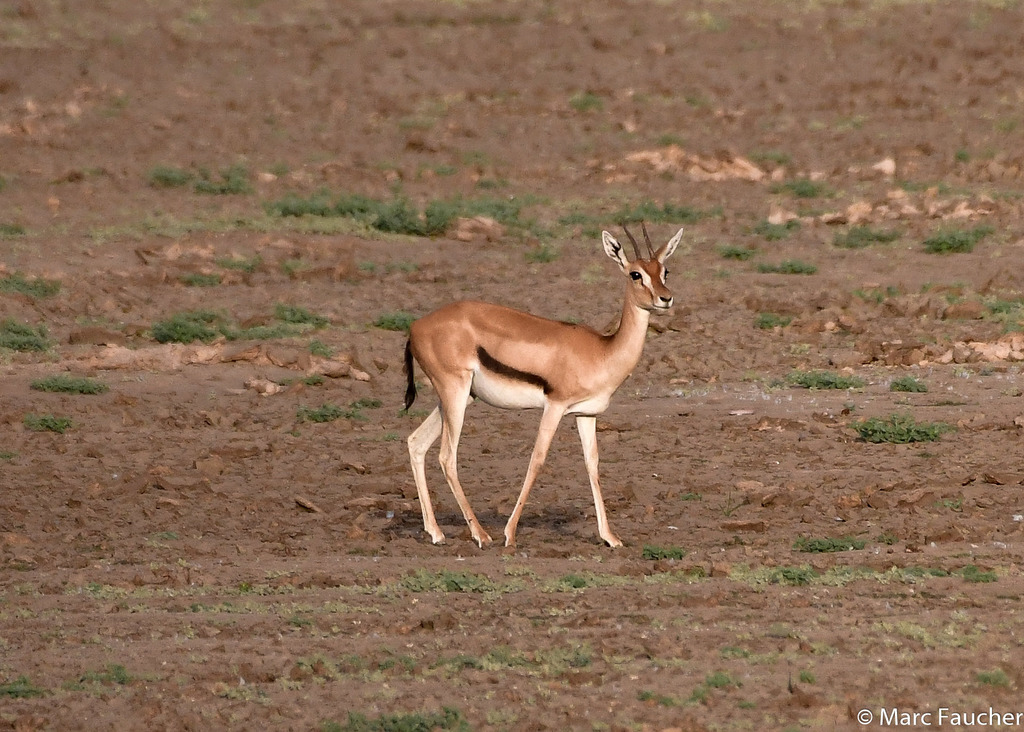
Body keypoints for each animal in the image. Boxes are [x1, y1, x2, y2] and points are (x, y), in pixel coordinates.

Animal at [403, 223, 682, 548]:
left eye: (665, 270)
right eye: (635, 274)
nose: (665, 298)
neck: (602, 351)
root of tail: (415, 326)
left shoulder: (586, 414)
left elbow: (593, 465)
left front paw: (610, 537)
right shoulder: (555, 406)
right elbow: (537, 460)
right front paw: (510, 534)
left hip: (459, 398)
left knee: (416, 442)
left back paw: (436, 532)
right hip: (455, 394)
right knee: (447, 457)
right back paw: (481, 535)